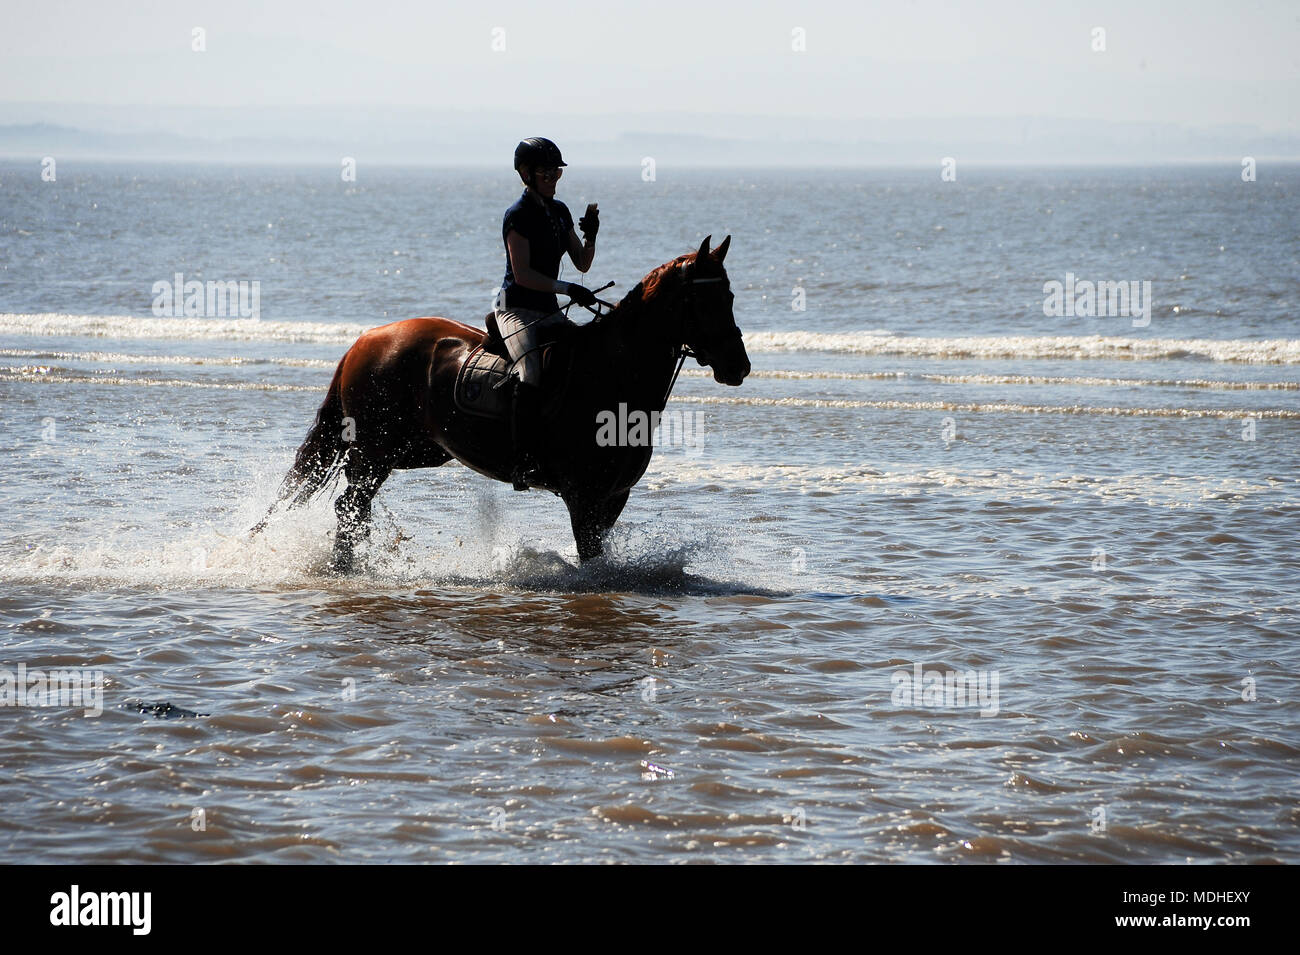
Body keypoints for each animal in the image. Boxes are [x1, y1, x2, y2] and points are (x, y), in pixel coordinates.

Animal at [250, 234, 749, 572]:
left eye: (729, 294)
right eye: (702, 298)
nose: (738, 365)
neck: (612, 372)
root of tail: (366, 339)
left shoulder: (612, 498)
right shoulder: (585, 497)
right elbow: (591, 562)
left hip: (411, 450)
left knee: (353, 506)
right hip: (375, 451)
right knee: (350, 506)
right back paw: (345, 569)